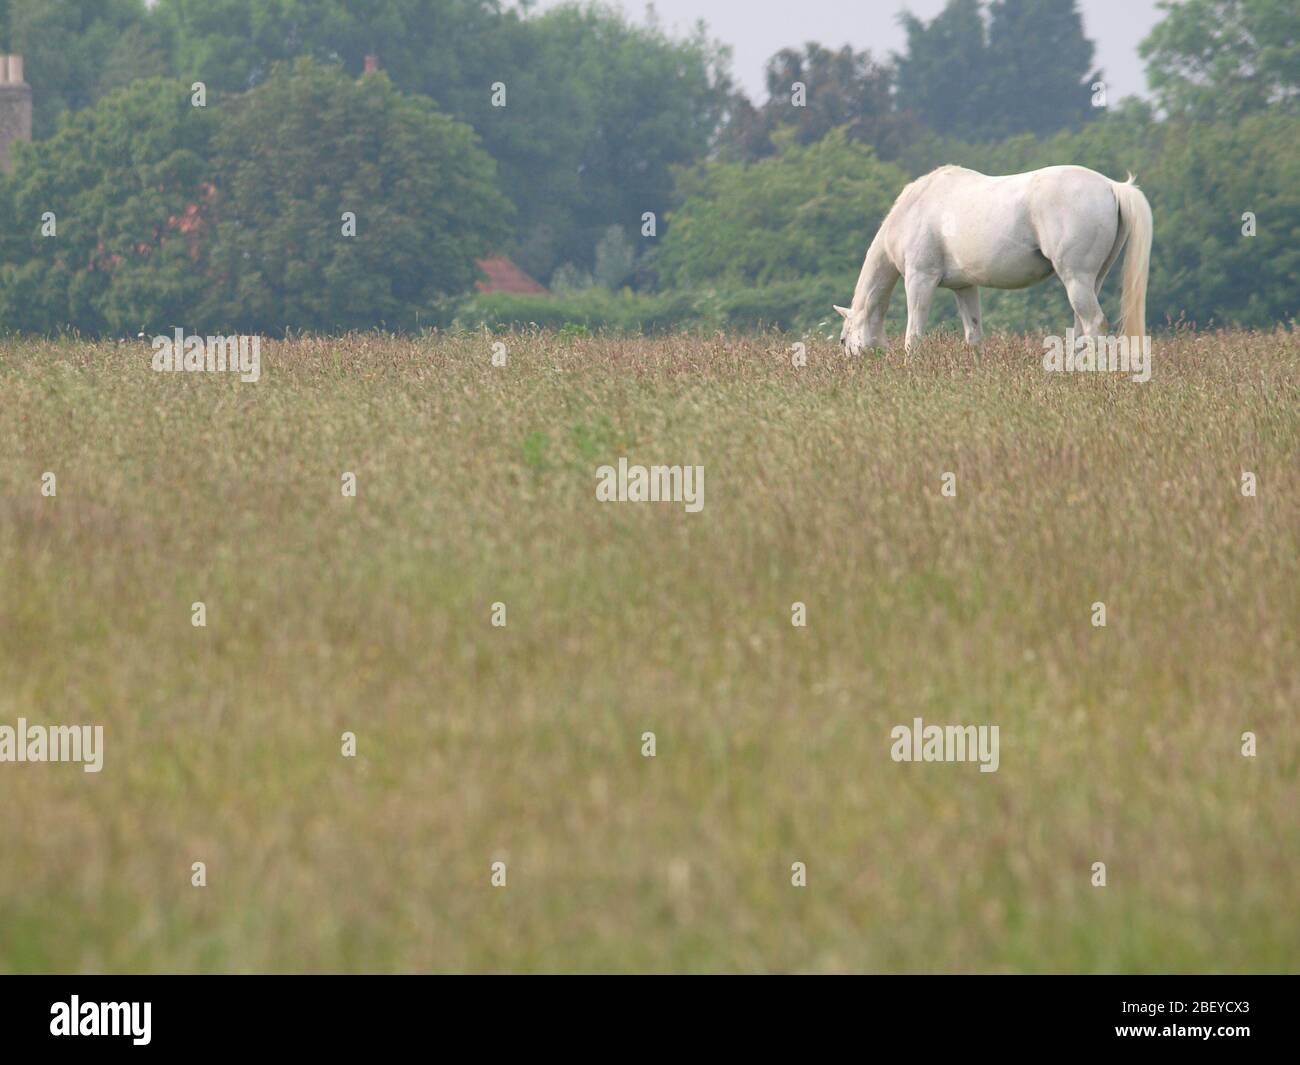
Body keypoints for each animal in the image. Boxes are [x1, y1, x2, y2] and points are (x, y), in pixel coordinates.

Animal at [835, 164, 1152, 354]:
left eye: (842, 340)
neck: (914, 209)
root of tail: (1111, 186)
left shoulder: (919, 279)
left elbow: (914, 334)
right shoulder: (964, 288)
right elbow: (974, 335)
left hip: (1076, 279)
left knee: (1094, 323)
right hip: (1090, 281)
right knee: (1080, 327)